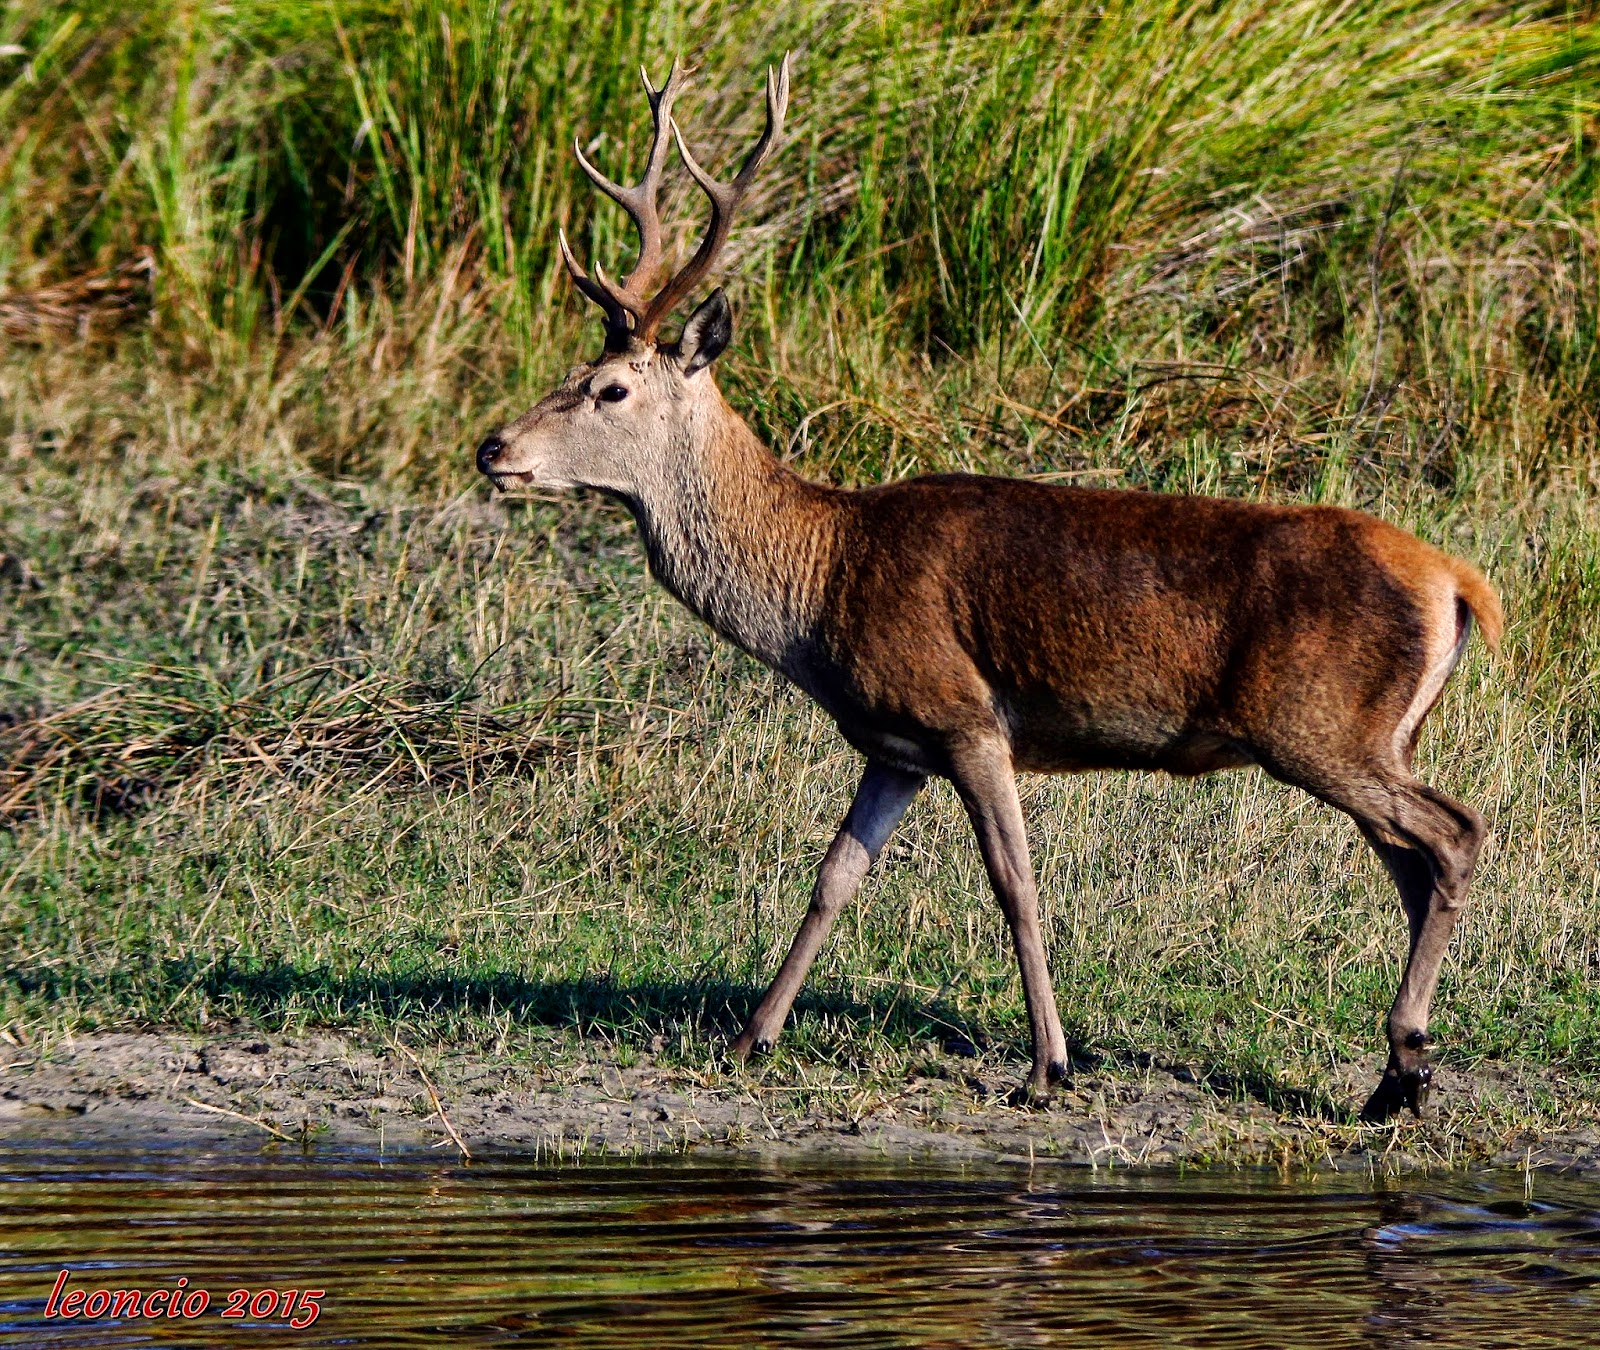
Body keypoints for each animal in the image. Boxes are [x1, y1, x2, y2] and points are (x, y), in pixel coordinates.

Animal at [475, 56, 1504, 1124]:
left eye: (610, 389)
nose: (492, 449)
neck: (819, 585)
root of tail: (1459, 583)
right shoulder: (896, 743)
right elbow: (833, 877)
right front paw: (751, 1036)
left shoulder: (963, 711)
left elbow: (1016, 884)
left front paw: (1048, 1063)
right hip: (1371, 734)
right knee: (1412, 858)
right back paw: (1396, 1076)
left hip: (1318, 723)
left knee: (1456, 832)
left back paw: (1407, 1058)